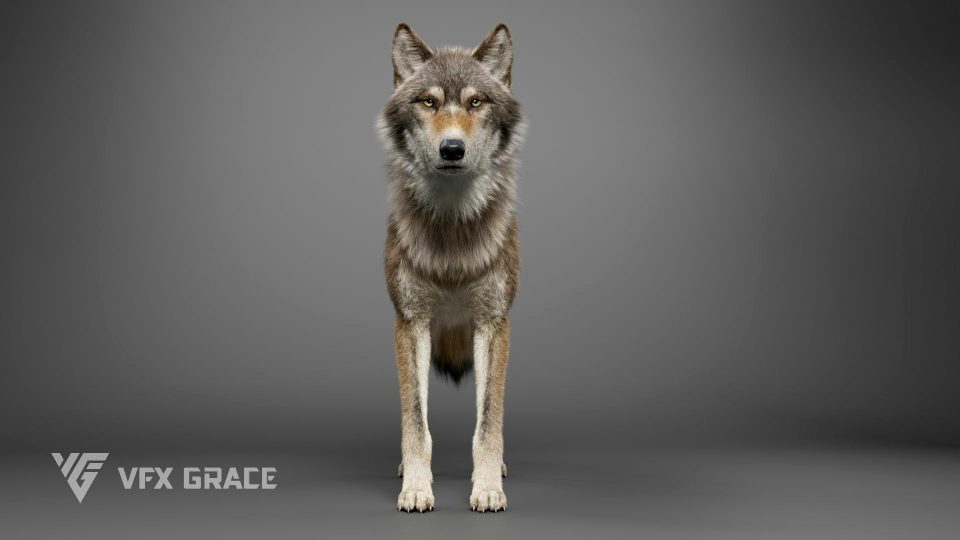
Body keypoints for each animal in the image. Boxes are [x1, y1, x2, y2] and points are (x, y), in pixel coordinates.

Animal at [377, 22, 525, 513]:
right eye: (429, 102)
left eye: (477, 102)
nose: (453, 148)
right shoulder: (410, 323)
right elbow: (416, 421)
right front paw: (416, 487)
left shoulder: (494, 324)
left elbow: (489, 421)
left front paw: (488, 487)